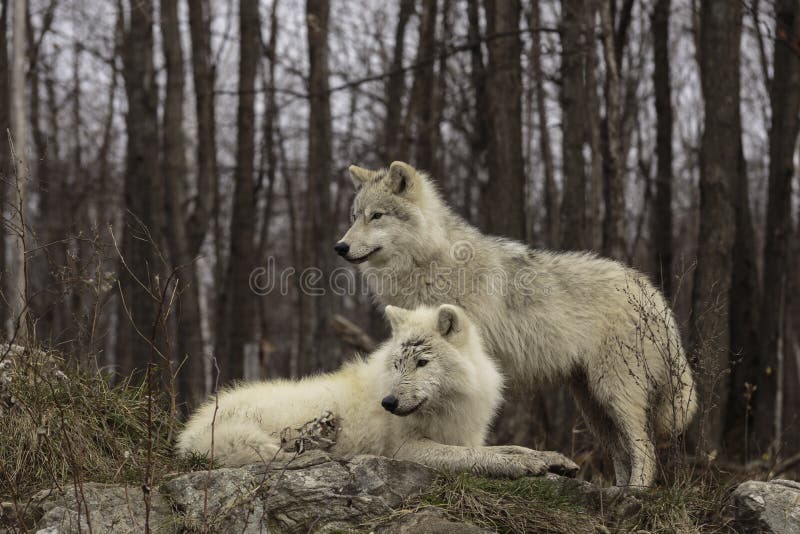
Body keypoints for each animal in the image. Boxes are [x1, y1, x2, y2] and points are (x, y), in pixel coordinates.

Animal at [177, 304, 576, 477]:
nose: (389, 402)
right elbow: (479, 458)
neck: (446, 407)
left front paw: (552, 458)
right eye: (398, 364)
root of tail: (187, 434)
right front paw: (524, 465)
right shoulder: (407, 450)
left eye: (422, 363)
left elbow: (507, 447)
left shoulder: (463, 435)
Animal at [335, 161, 698, 487]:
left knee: (645, 448)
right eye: (353, 217)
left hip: (614, 392)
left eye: (376, 216)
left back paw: (634, 496)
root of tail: (653, 293)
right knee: (621, 451)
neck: (429, 262)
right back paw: (615, 492)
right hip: (592, 403)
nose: (340, 247)